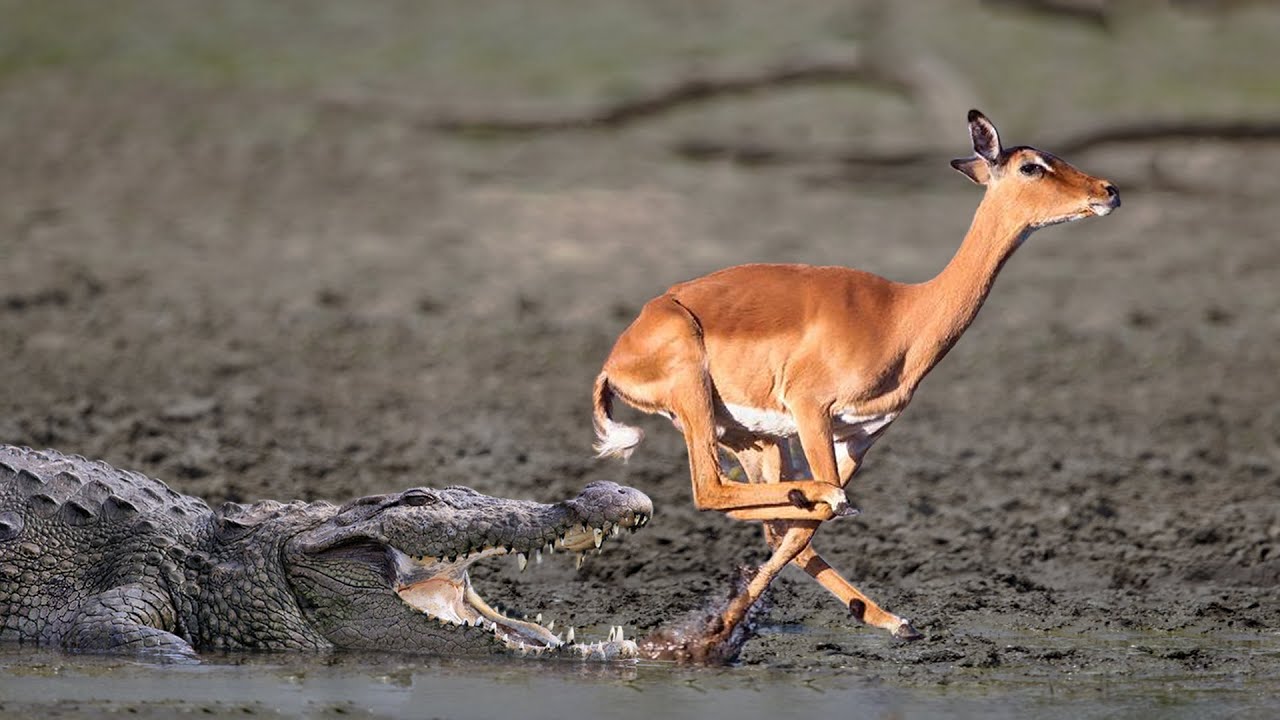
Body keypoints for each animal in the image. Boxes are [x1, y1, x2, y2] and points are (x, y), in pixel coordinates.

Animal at [593, 110, 1120, 646]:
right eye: (1032, 165)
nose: (1109, 190)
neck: (902, 315)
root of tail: (618, 355)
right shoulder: (812, 408)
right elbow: (821, 506)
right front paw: (711, 633)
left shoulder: (861, 437)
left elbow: (802, 528)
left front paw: (718, 630)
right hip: (704, 405)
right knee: (715, 492)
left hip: (756, 440)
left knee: (770, 518)